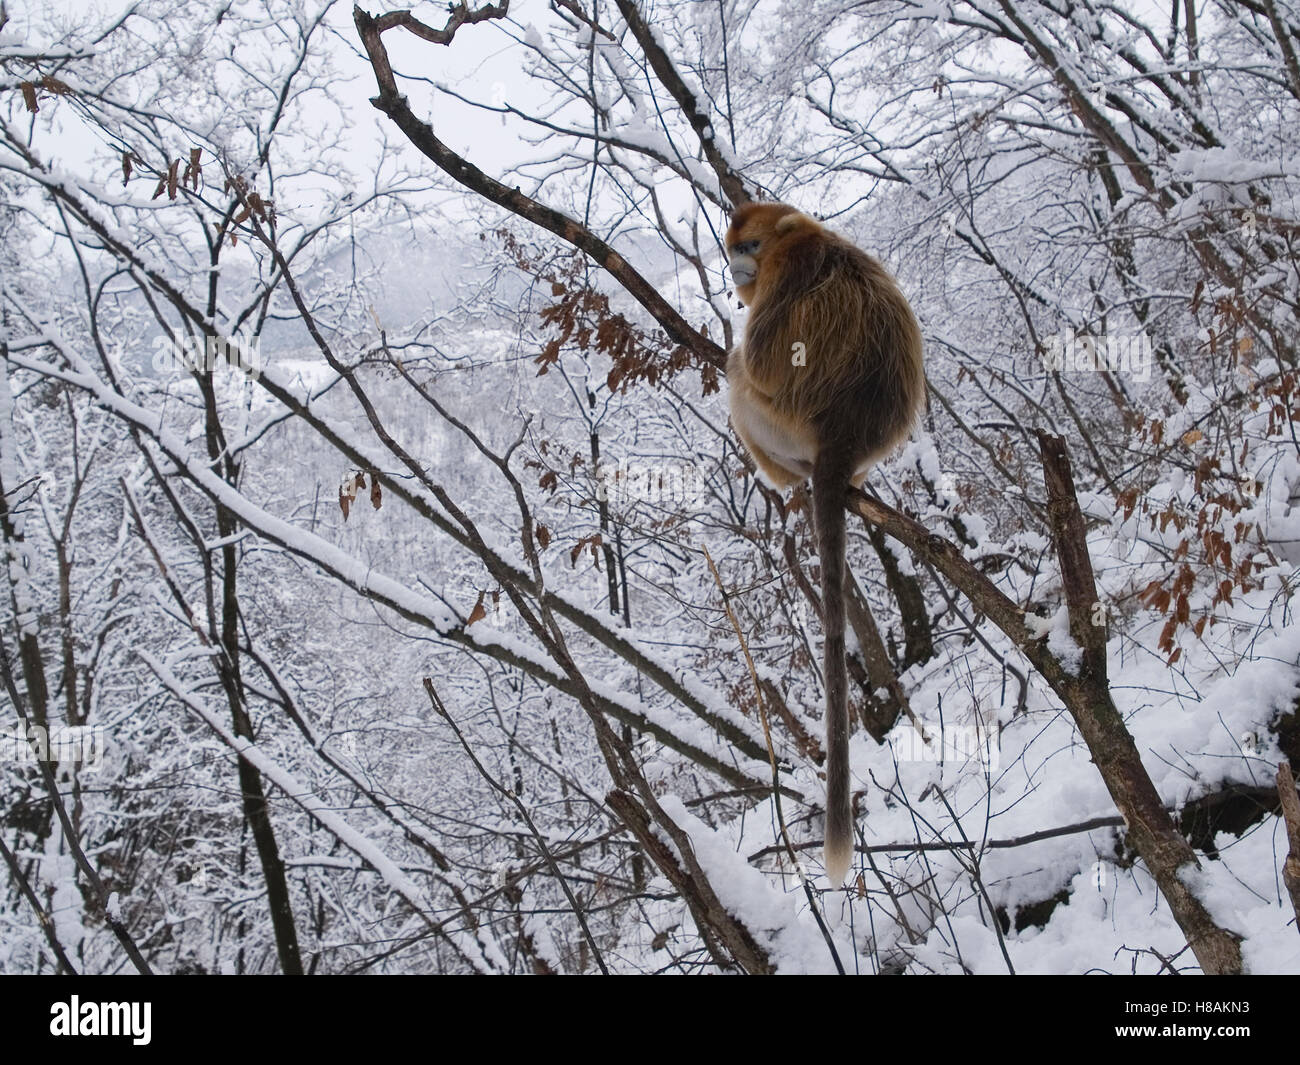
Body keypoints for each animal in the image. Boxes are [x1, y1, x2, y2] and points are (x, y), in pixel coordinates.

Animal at [724, 202, 925, 885]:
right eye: (732, 247)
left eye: (749, 246)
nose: (733, 269)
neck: (801, 237)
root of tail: (841, 437)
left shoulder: (788, 274)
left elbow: (757, 363)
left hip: (781, 425)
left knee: (740, 379)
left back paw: (787, 478)